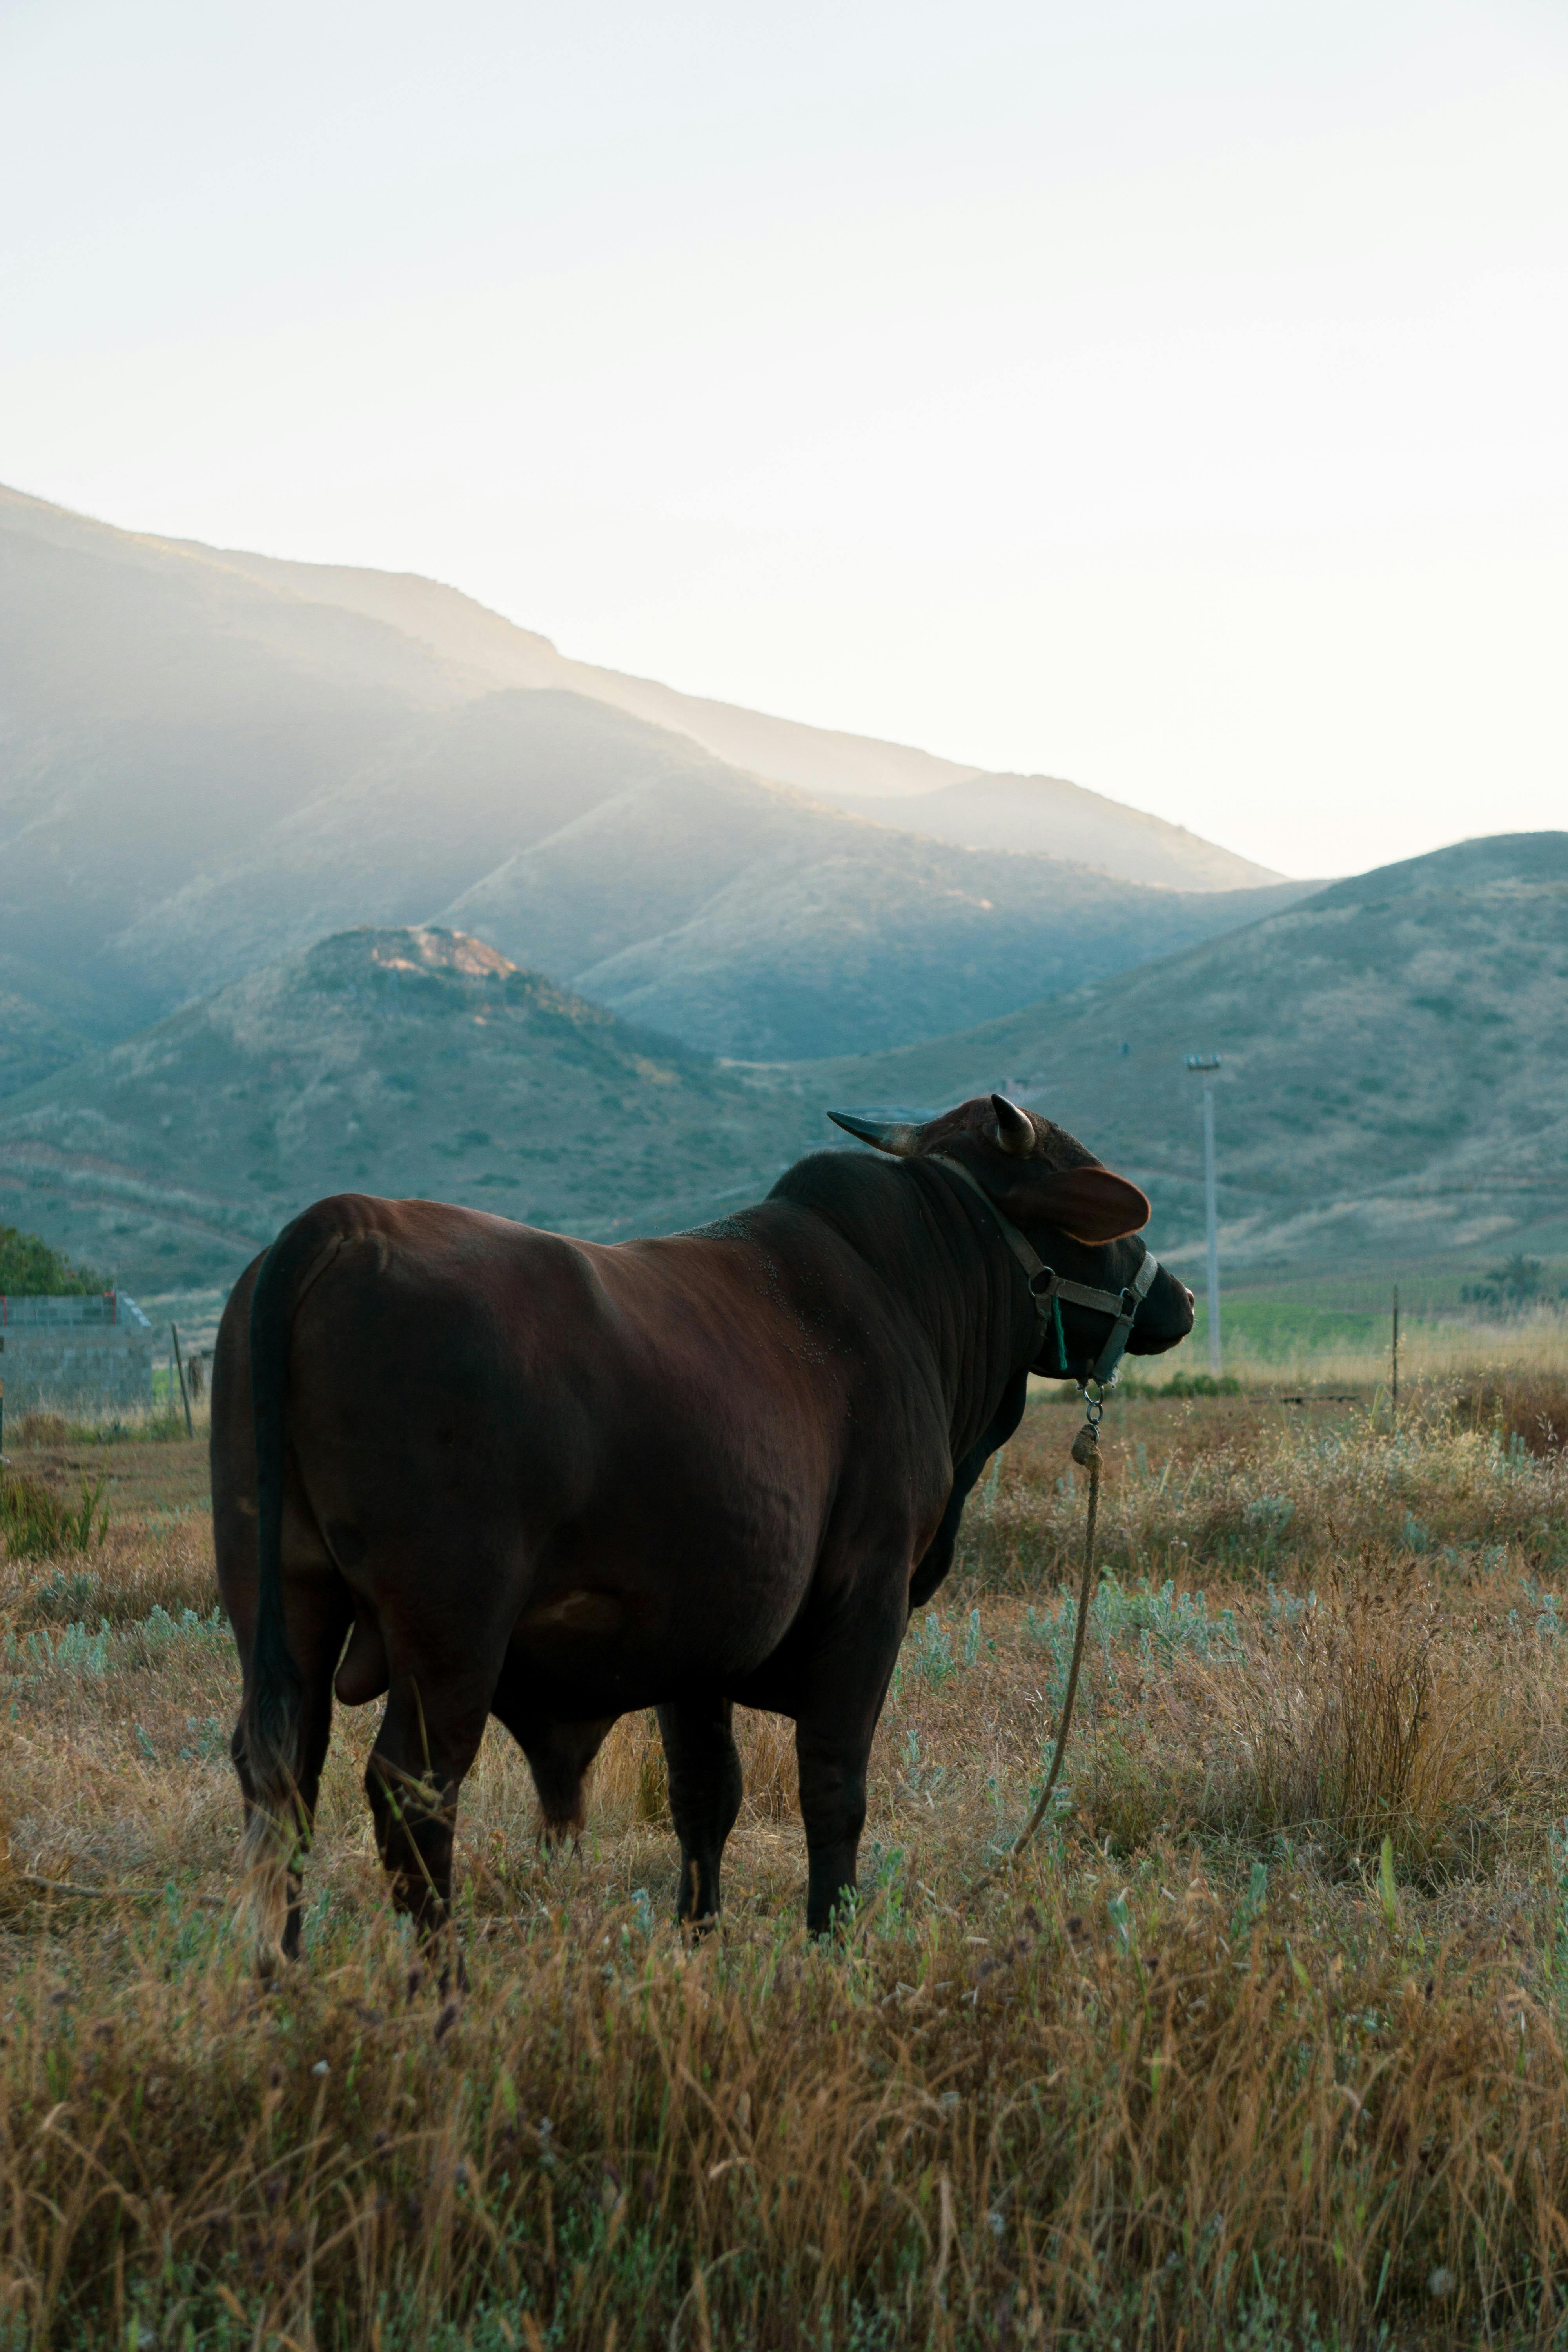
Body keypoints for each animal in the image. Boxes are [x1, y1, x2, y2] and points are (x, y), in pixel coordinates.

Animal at [211, 1093, 1194, 1963]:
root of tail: (340, 1224)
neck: (910, 1291)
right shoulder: (868, 1598)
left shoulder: (696, 1637)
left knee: (281, 1774)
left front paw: (699, 1938)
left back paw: (280, 1977)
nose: (1179, 1300)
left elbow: (703, 1797)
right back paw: (437, 1989)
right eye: (1098, 1215)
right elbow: (833, 1787)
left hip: (280, 1605)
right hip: (450, 1631)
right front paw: (830, 1942)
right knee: (411, 1791)